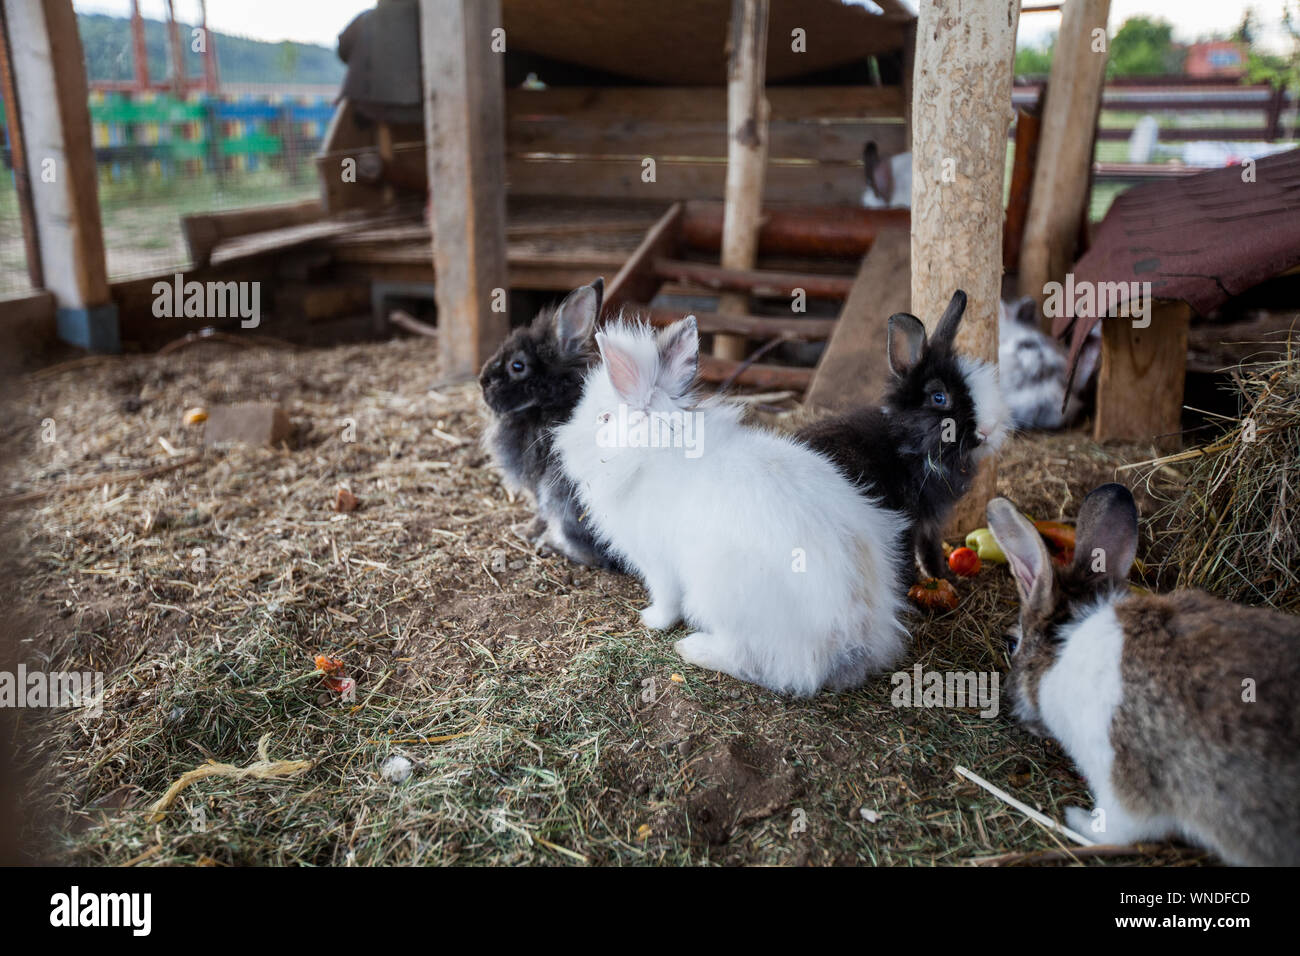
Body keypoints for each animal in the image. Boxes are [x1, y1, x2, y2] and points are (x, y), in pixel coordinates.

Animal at [478, 279, 622, 571]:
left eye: (517, 365)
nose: (482, 381)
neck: (545, 399)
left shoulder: (537, 485)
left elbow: (539, 513)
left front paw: (525, 531)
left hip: (559, 497)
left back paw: (549, 545)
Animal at [553, 316, 909, 697]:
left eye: (604, 418)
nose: (564, 442)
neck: (649, 449)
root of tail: (851, 636)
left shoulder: (658, 565)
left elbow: (667, 600)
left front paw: (650, 620)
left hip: (720, 597)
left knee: (756, 661)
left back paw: (693, 648)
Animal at [796, 290, 1010, 584]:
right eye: (939, 397)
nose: (988, 429)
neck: (910, 447)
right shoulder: (907, 522)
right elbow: (910, 557)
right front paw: (917, 586)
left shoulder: (931, 524)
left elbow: (930, 551)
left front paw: (945, 580)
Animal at [986, 483, 1300, 866]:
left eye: (1012, 643)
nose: (1009, 701)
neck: (1066, 646)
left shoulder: (1117, 775)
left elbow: (1120, 826)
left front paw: (1076, 818)